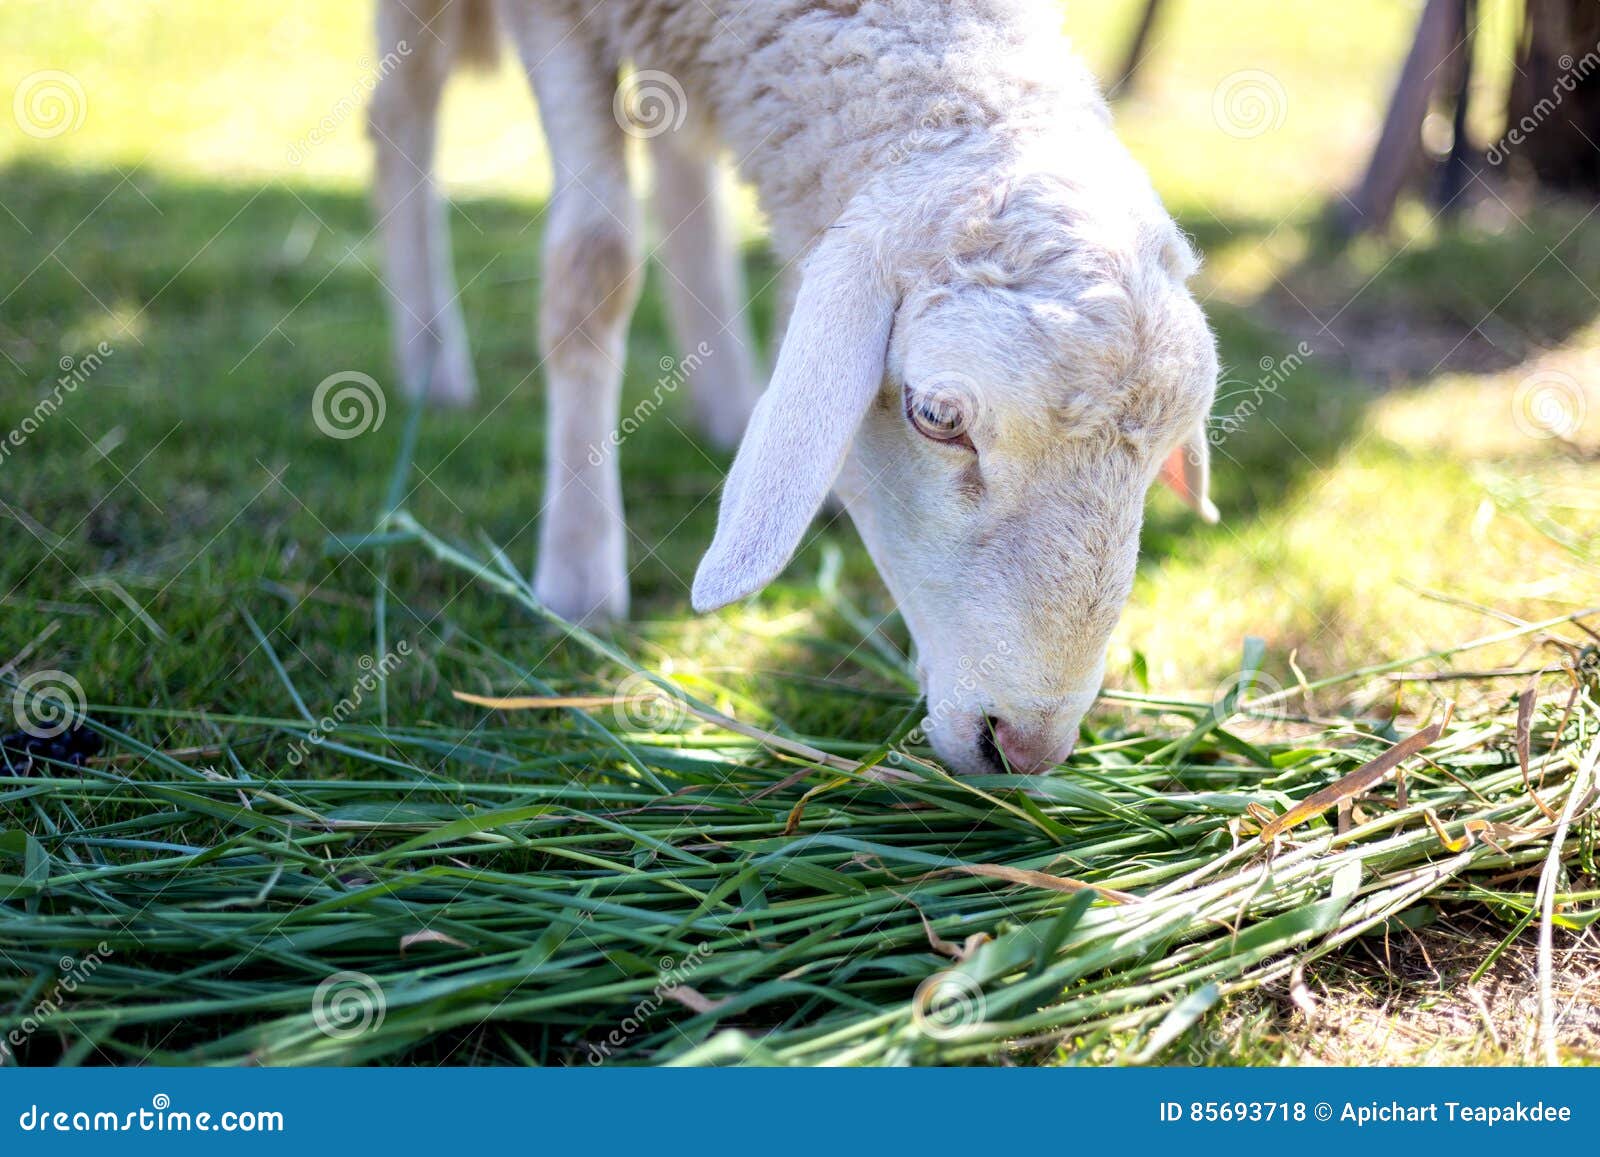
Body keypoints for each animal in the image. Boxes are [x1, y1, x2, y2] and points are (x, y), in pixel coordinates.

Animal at [367, 0, 1219, 777]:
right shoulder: (558, 18)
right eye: (936, 416)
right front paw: (578, 581)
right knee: (399, 108)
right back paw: (431, 361)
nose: (1023, 747)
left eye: (1158, 459)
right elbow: (595, 266)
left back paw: (726, 402)